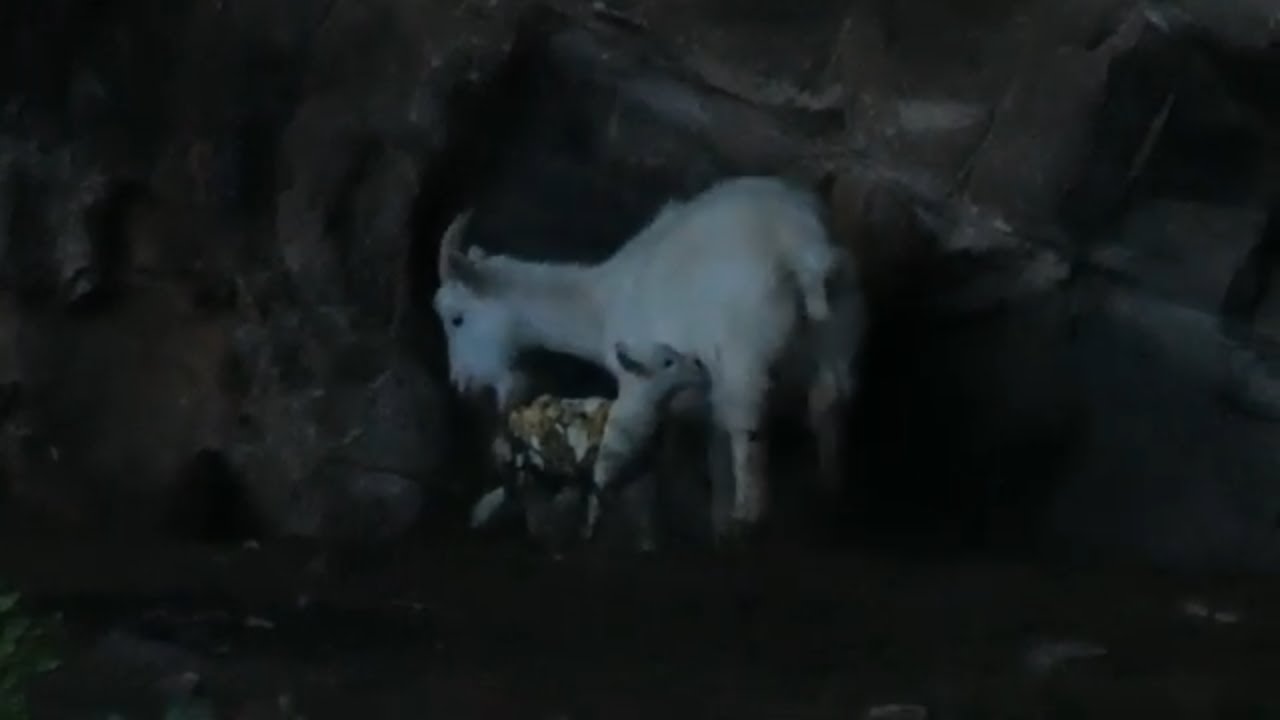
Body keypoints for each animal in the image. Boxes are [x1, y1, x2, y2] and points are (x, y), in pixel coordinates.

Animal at [434, 175, 865, 541]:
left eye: (456, 317)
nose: (461, 383)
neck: (600, 303)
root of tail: (801, 245)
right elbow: (714, 451)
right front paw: (717, 524)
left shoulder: (644, 380)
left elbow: (633, 450)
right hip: (839, 331)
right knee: (828, 403)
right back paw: (829, 497)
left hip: (745, 350)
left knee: (746, 420)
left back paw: (750, 513)